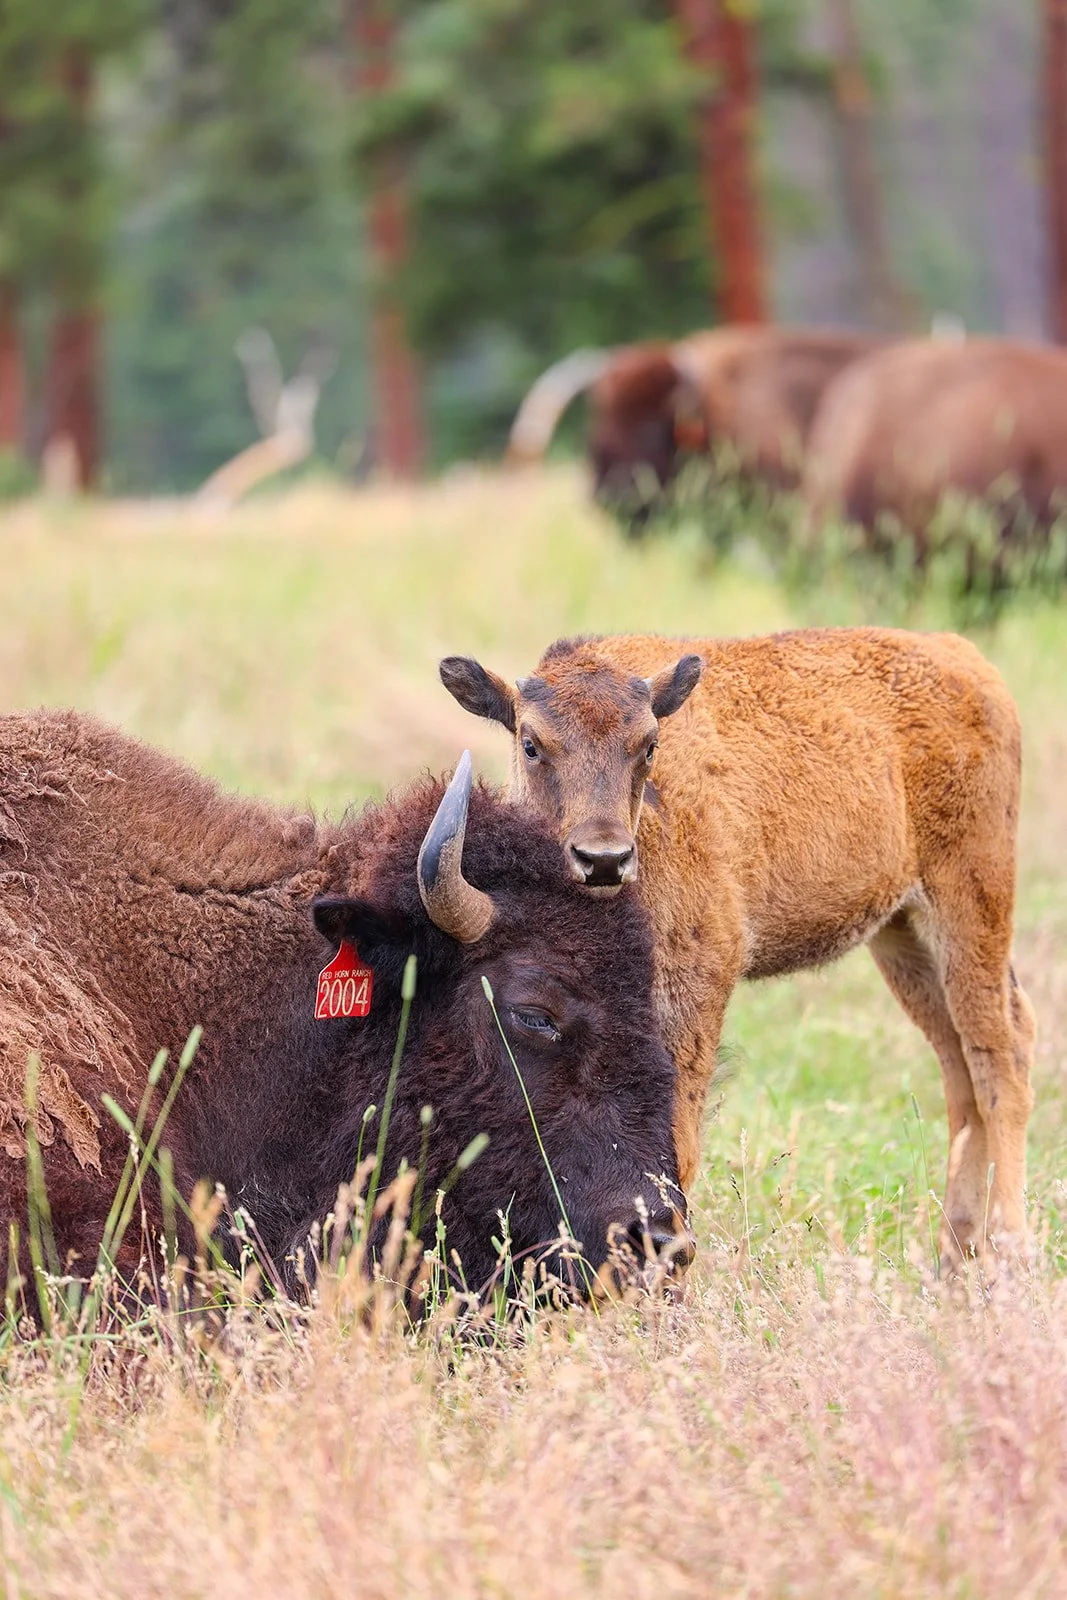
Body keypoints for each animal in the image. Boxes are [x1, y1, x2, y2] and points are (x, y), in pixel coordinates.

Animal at [441, 629, 1035, 1274]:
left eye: (648, 745)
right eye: (531, 744)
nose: (603, 859)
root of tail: (966, 659)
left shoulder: (699, 984)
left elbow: (677, 1137)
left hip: (968, 906)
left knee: (999, 1055)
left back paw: (1008, 1249)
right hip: (902, 933)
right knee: (959, 1065)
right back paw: (956, 1257)